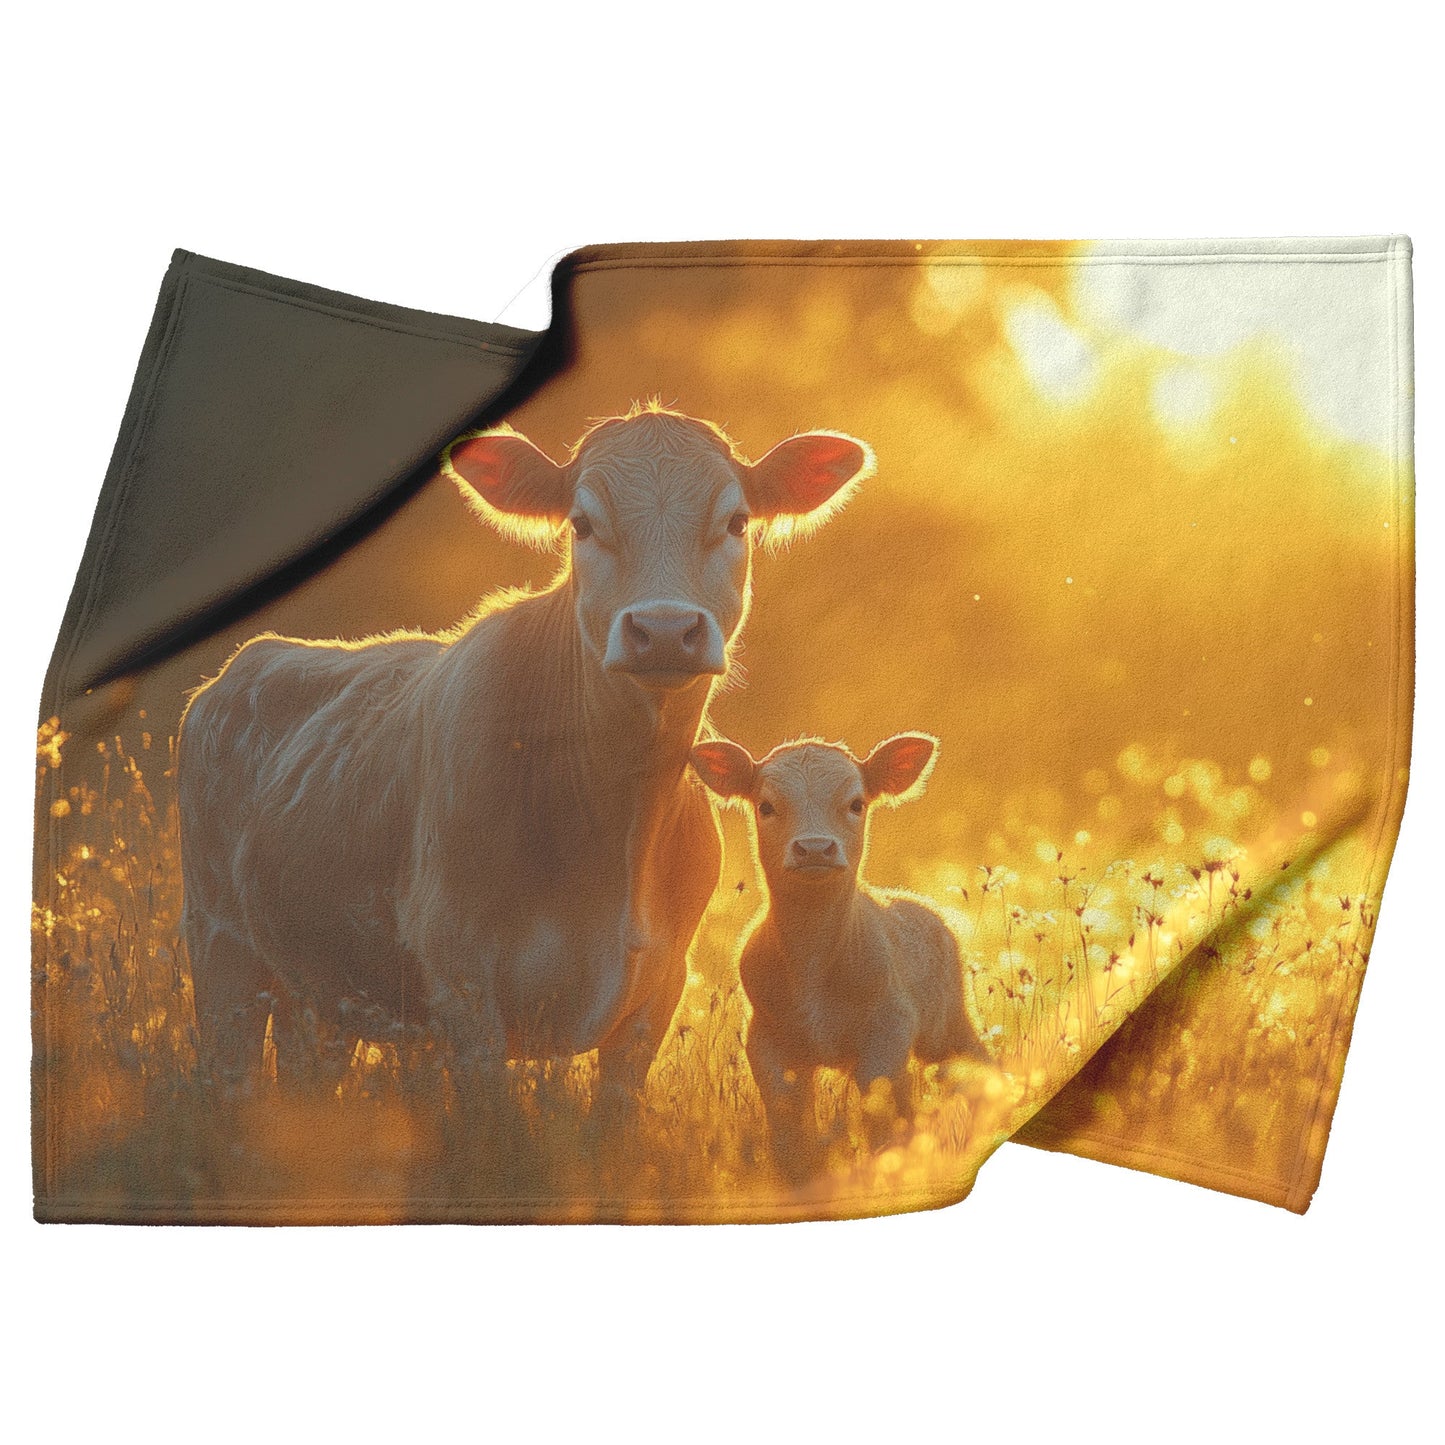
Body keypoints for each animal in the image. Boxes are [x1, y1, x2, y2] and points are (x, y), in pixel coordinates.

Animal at [177, 405, 873, 1125]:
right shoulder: (461, 982)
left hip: (317, 991)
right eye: (582, 523)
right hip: (220, 948)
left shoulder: (656, 991)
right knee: (231, 1075)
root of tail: (250, 659)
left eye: (735, 521)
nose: (663, 630)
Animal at [688, 733, 990, 1177]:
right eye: (766, 806)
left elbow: (879, 1119)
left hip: (950, 1025)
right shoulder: (767, 1039)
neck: (814, 964)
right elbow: (789, 1127)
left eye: (856, 804)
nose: (815, 848)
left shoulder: (888, 1028)